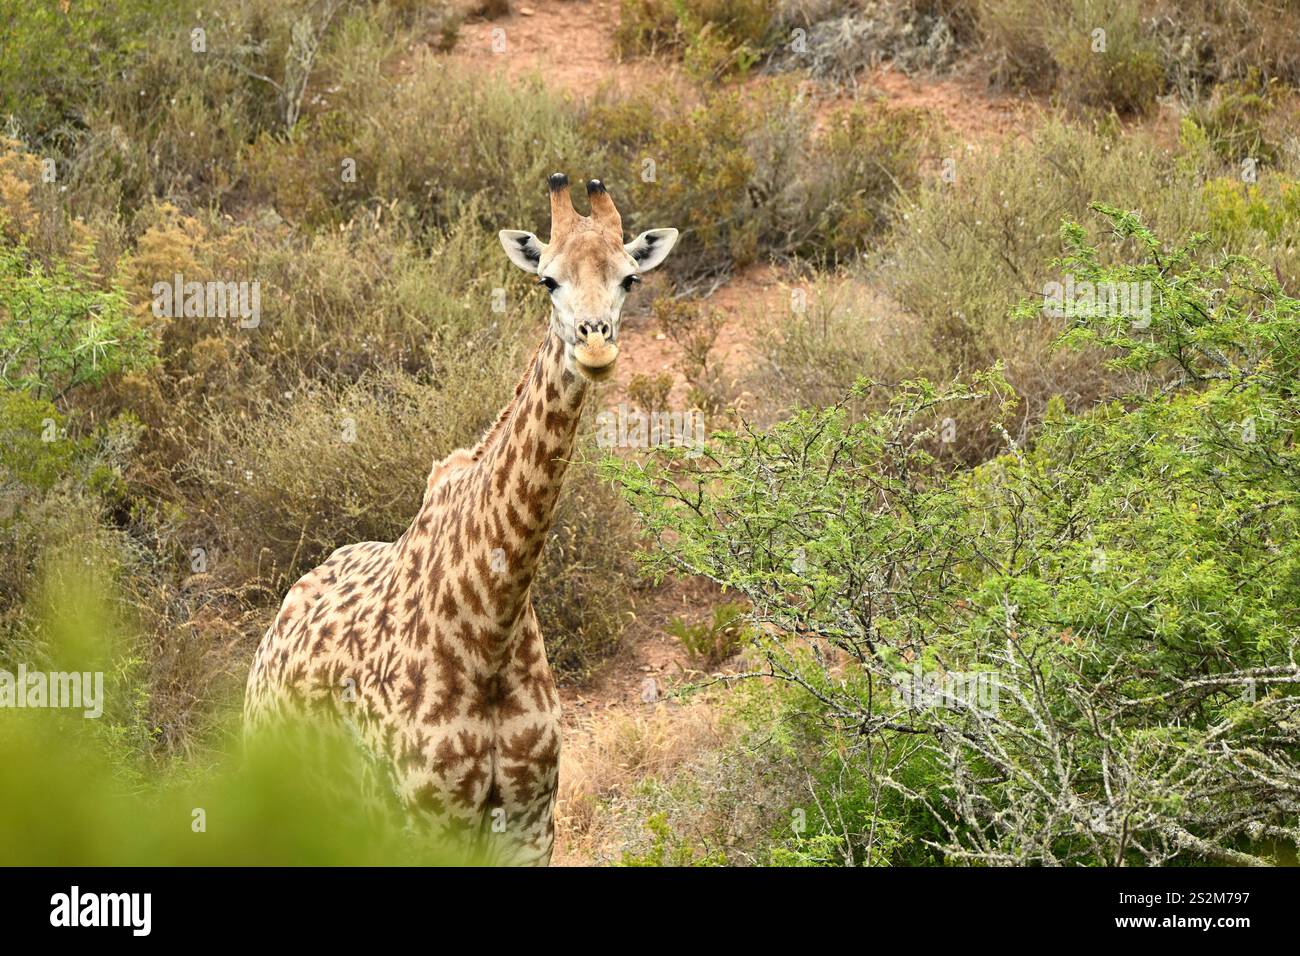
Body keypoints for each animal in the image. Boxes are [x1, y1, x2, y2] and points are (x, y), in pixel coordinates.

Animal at [242, 174, 679, 865]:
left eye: (630, 278)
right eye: (547, 280)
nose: (595, 344)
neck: (489, 628)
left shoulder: (530, 825)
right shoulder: (424, 824)